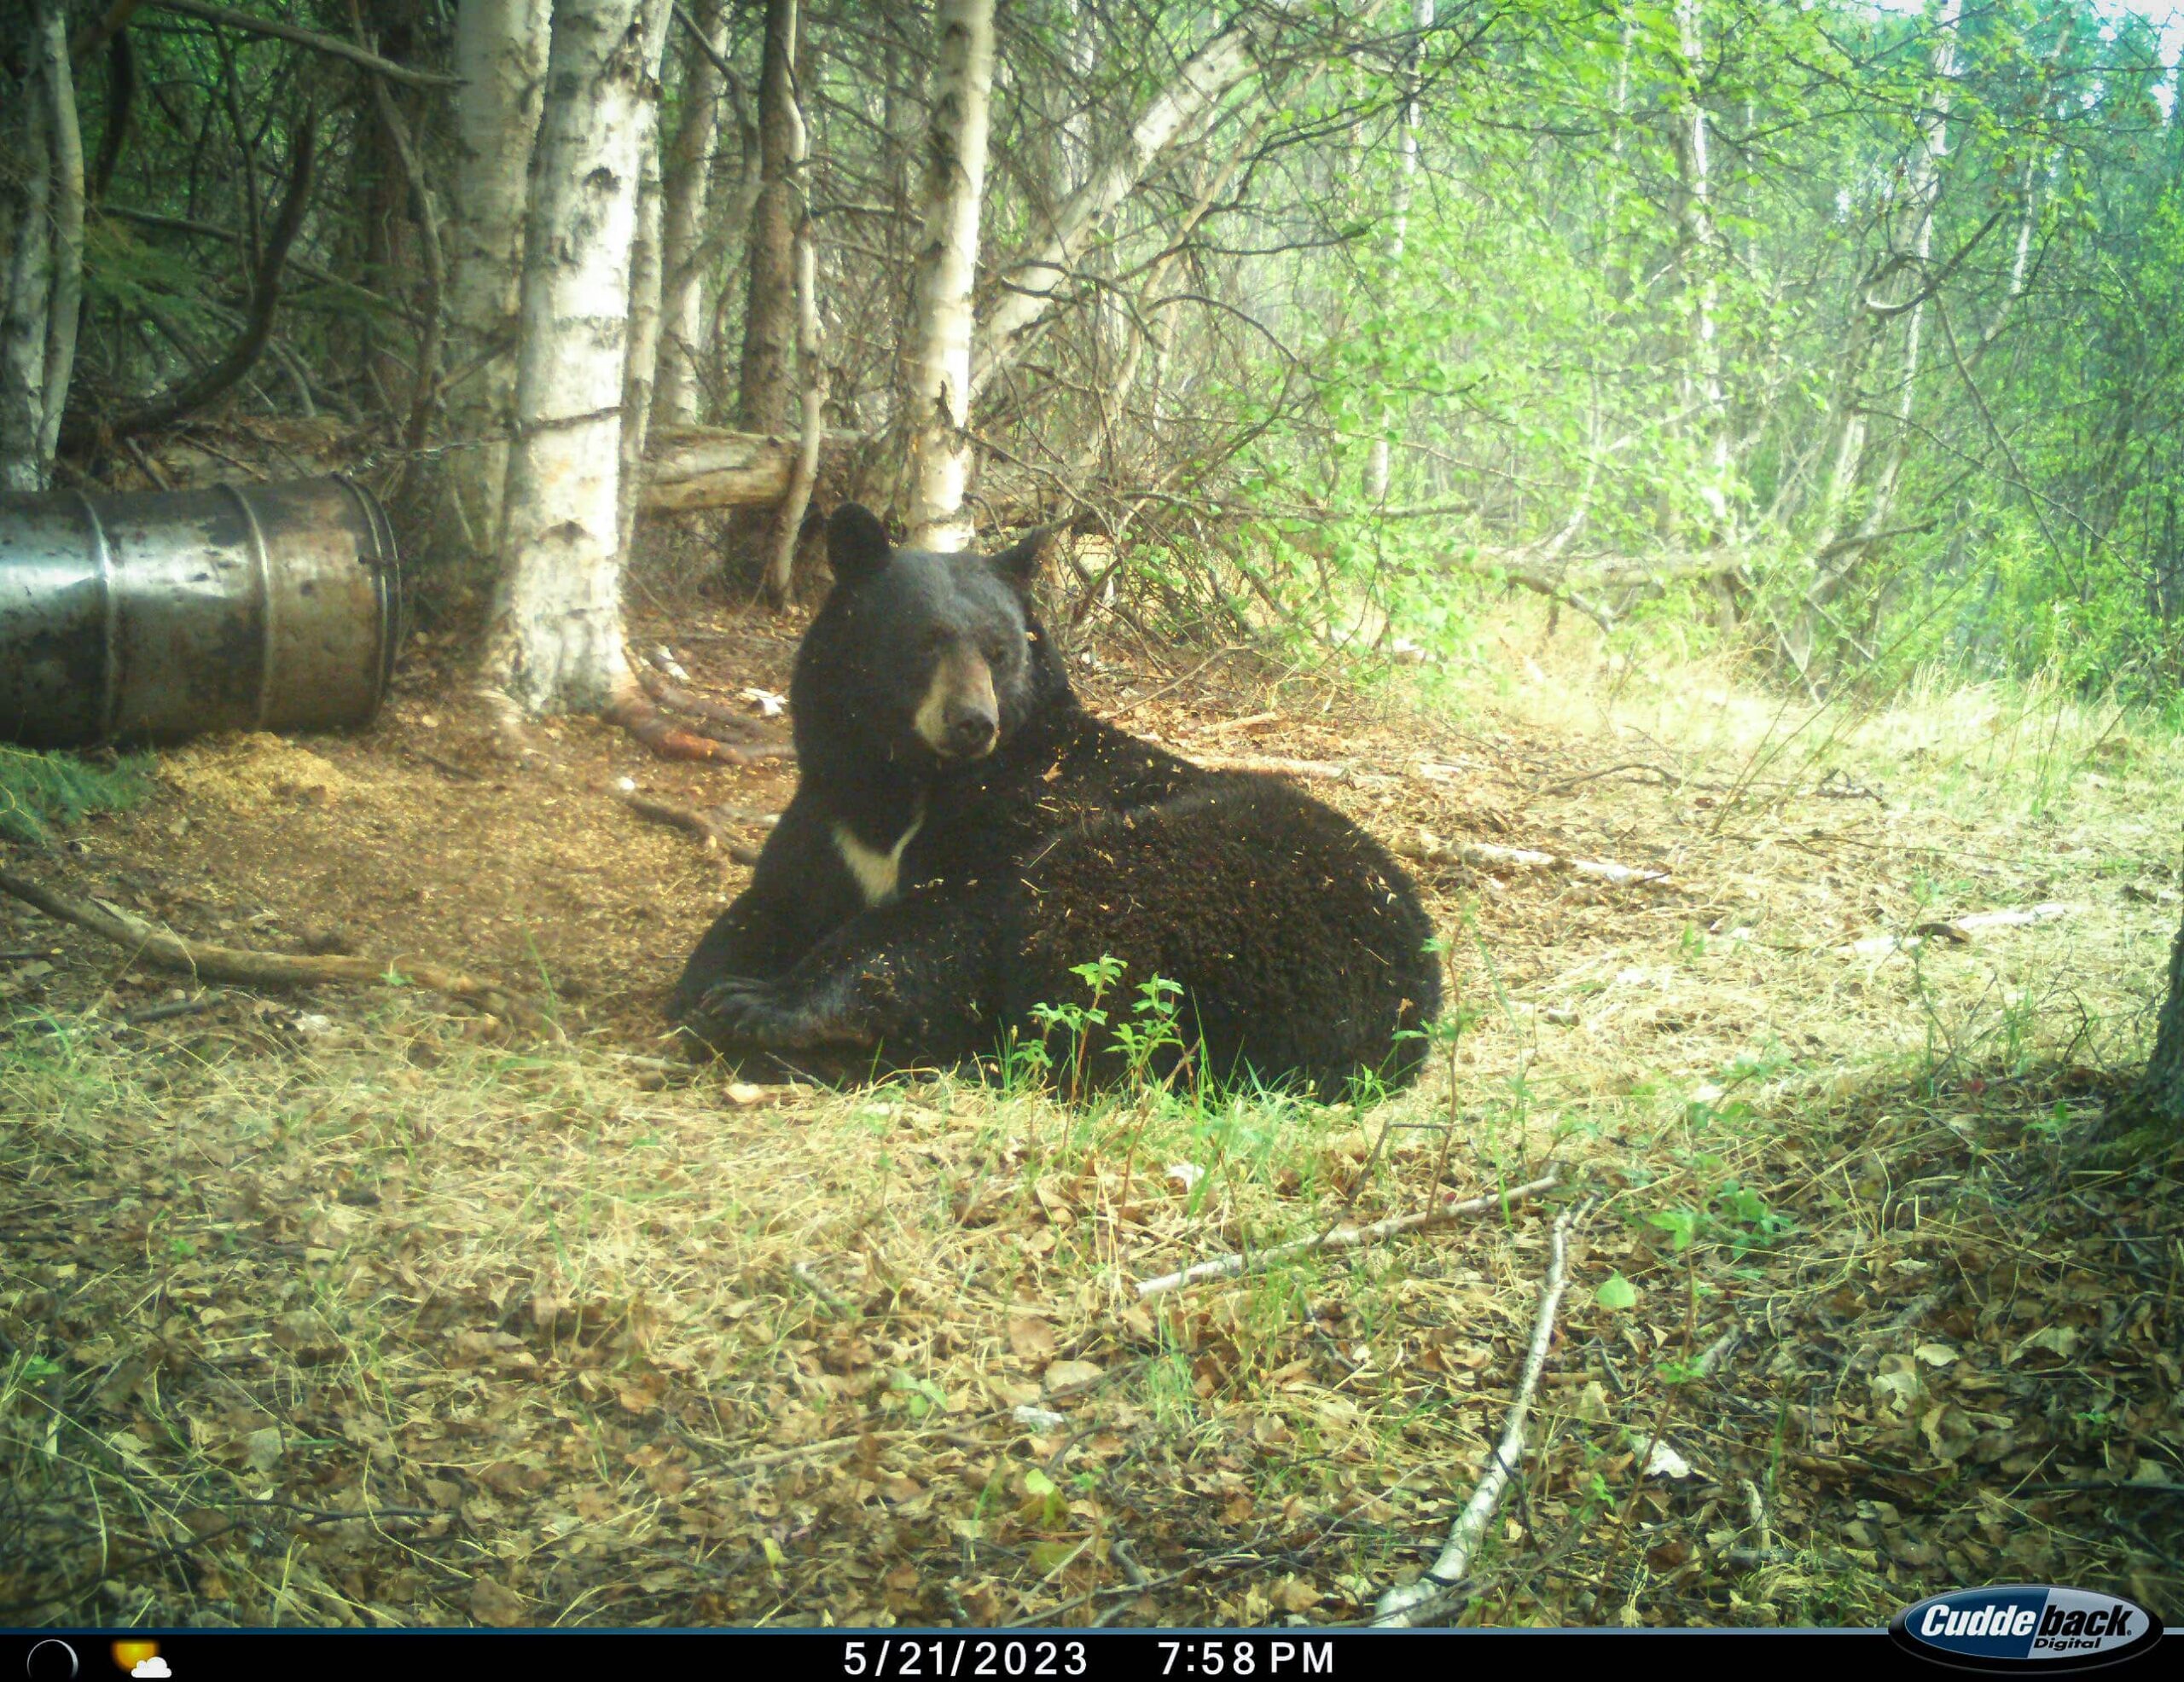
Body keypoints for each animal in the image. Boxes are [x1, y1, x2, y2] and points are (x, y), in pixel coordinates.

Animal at [671, 503, 1442, 1097]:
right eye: (924, 640)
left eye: (1000, 648)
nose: (972, 722)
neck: (908, 782)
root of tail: (1407, 1020)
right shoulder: (830, 814)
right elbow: (772, 901)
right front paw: (709, 986)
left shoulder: (1019, 814)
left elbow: (943, 924)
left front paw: (759, 1004)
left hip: (1195, 880)